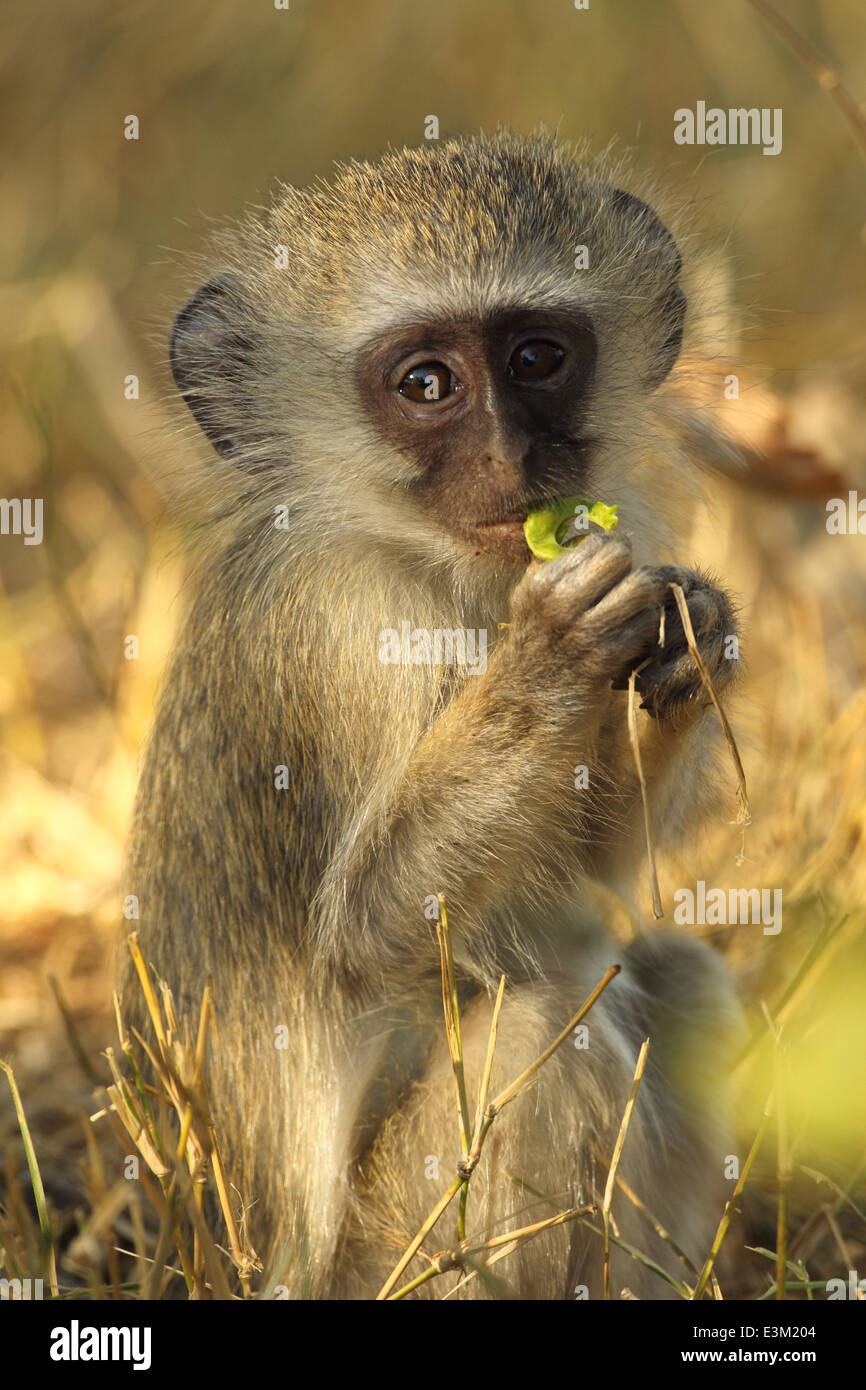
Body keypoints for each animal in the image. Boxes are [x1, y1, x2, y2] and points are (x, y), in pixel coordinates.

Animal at [123, 131, 744, 1300]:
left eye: (537, 359)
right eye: (425, 384)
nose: (512, 460)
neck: (440, 568)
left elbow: (589, 873)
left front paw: (695, 636)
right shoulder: (349, 624)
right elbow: (369, 930)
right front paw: (547, 656)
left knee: (679, 978)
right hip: (381, 1254)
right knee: (538, 1027)